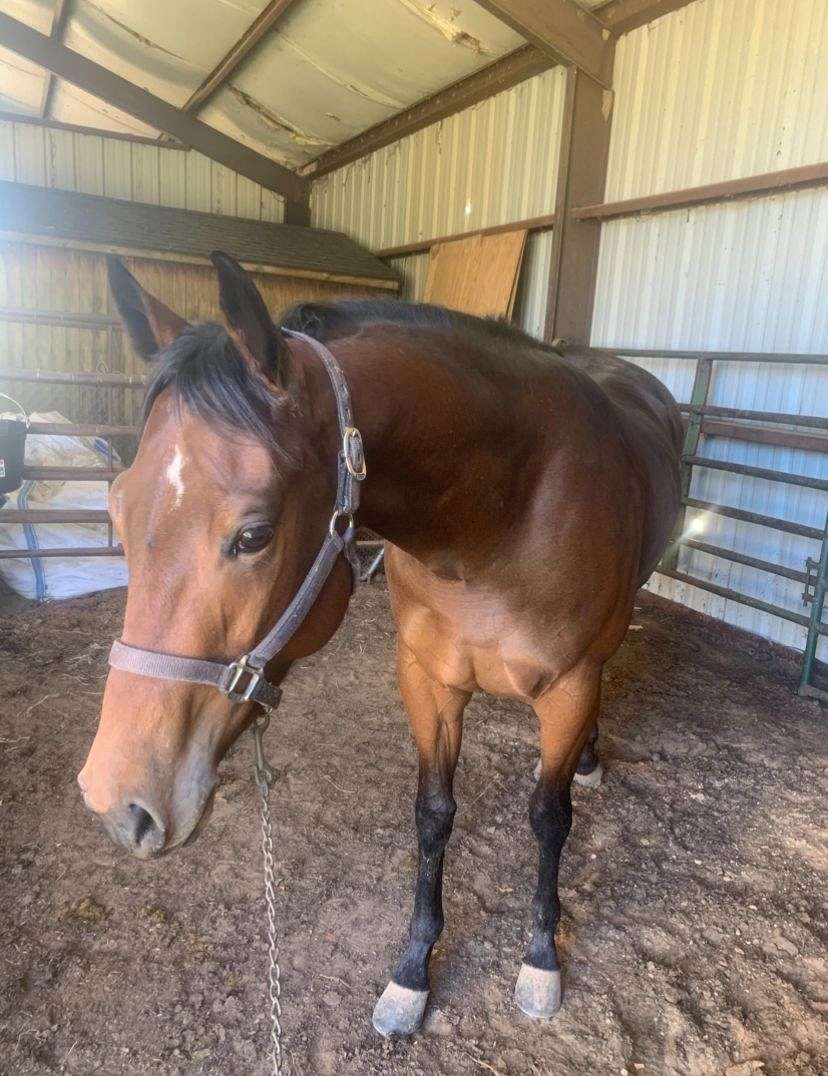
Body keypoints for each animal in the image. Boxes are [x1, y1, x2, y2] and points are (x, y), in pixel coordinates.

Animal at [78, 252, 683, 1036]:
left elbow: (549, 820)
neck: (504, 509)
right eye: (116, 511)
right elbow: (433, 817)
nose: (119, 803)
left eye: (253, 535)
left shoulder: (569, 685)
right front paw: (412, 972)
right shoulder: (426, 679)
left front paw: (541, 959)